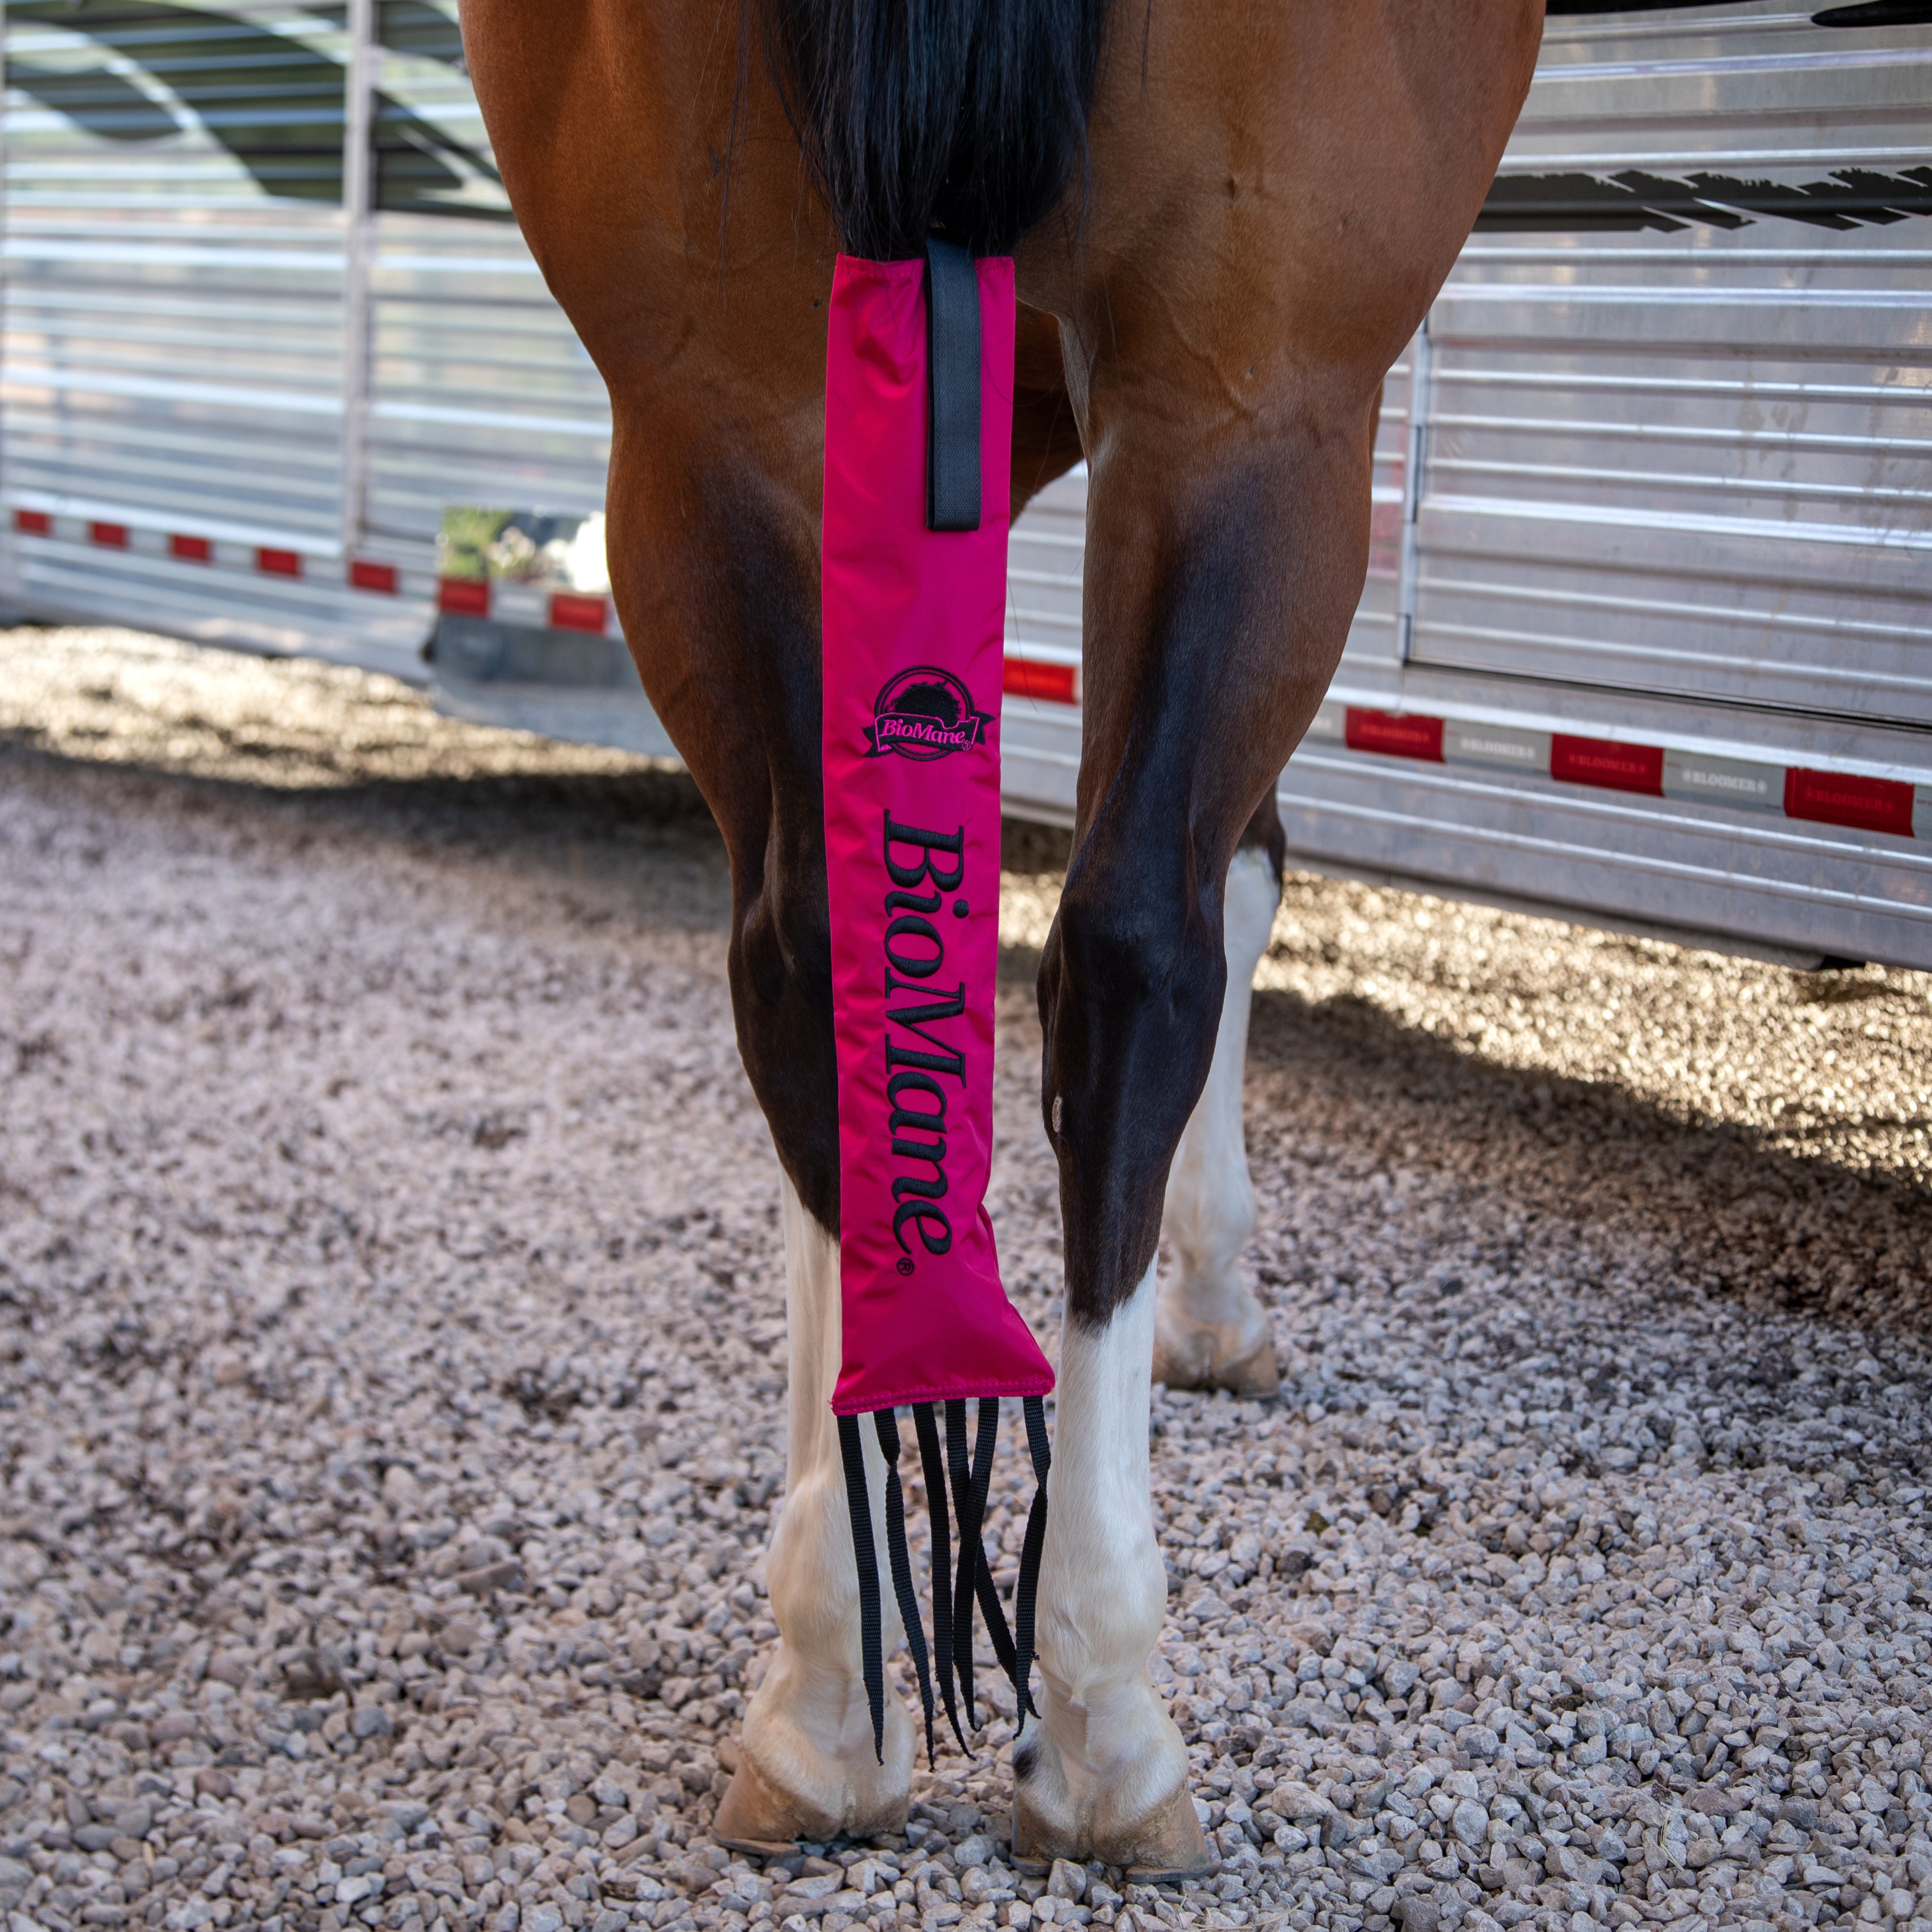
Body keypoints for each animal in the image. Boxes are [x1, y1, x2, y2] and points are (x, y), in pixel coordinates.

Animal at [458, 0, 1543, 1877]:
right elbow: (1231, 875)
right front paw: (1215, 1301)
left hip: (705, 411)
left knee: (812, 949)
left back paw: (828, 1703)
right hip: (1258, 398)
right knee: (1133, 951)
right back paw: (1103, 1715)